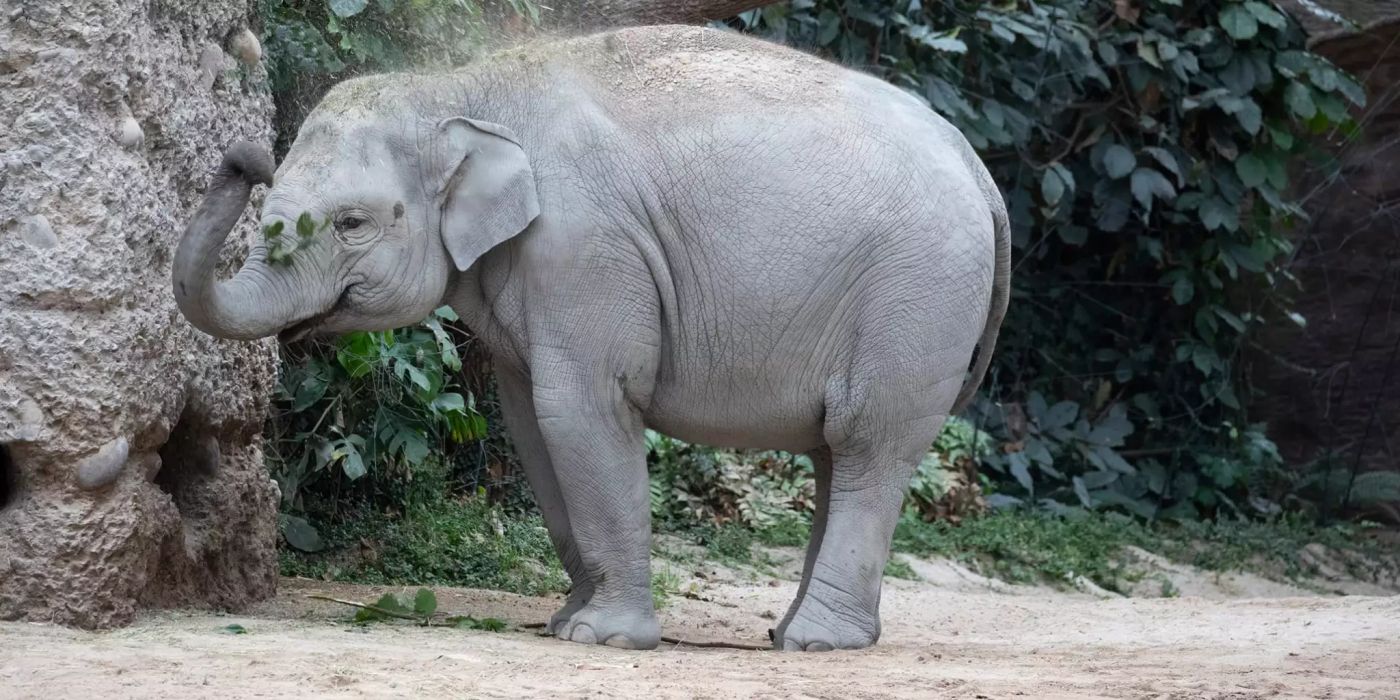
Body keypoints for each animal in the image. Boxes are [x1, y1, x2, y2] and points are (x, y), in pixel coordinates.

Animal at [172, 25, 1009, 651]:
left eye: (351, 223)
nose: (244, 156)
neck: (460, 88)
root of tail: (979, 167)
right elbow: (531, 424)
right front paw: (566, 621)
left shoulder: (585, 249)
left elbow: (582, 408)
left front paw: (601, 638)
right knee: (838, 453)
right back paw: (797, 634)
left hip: (918, 299)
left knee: (868, 444)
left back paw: (815, 643)